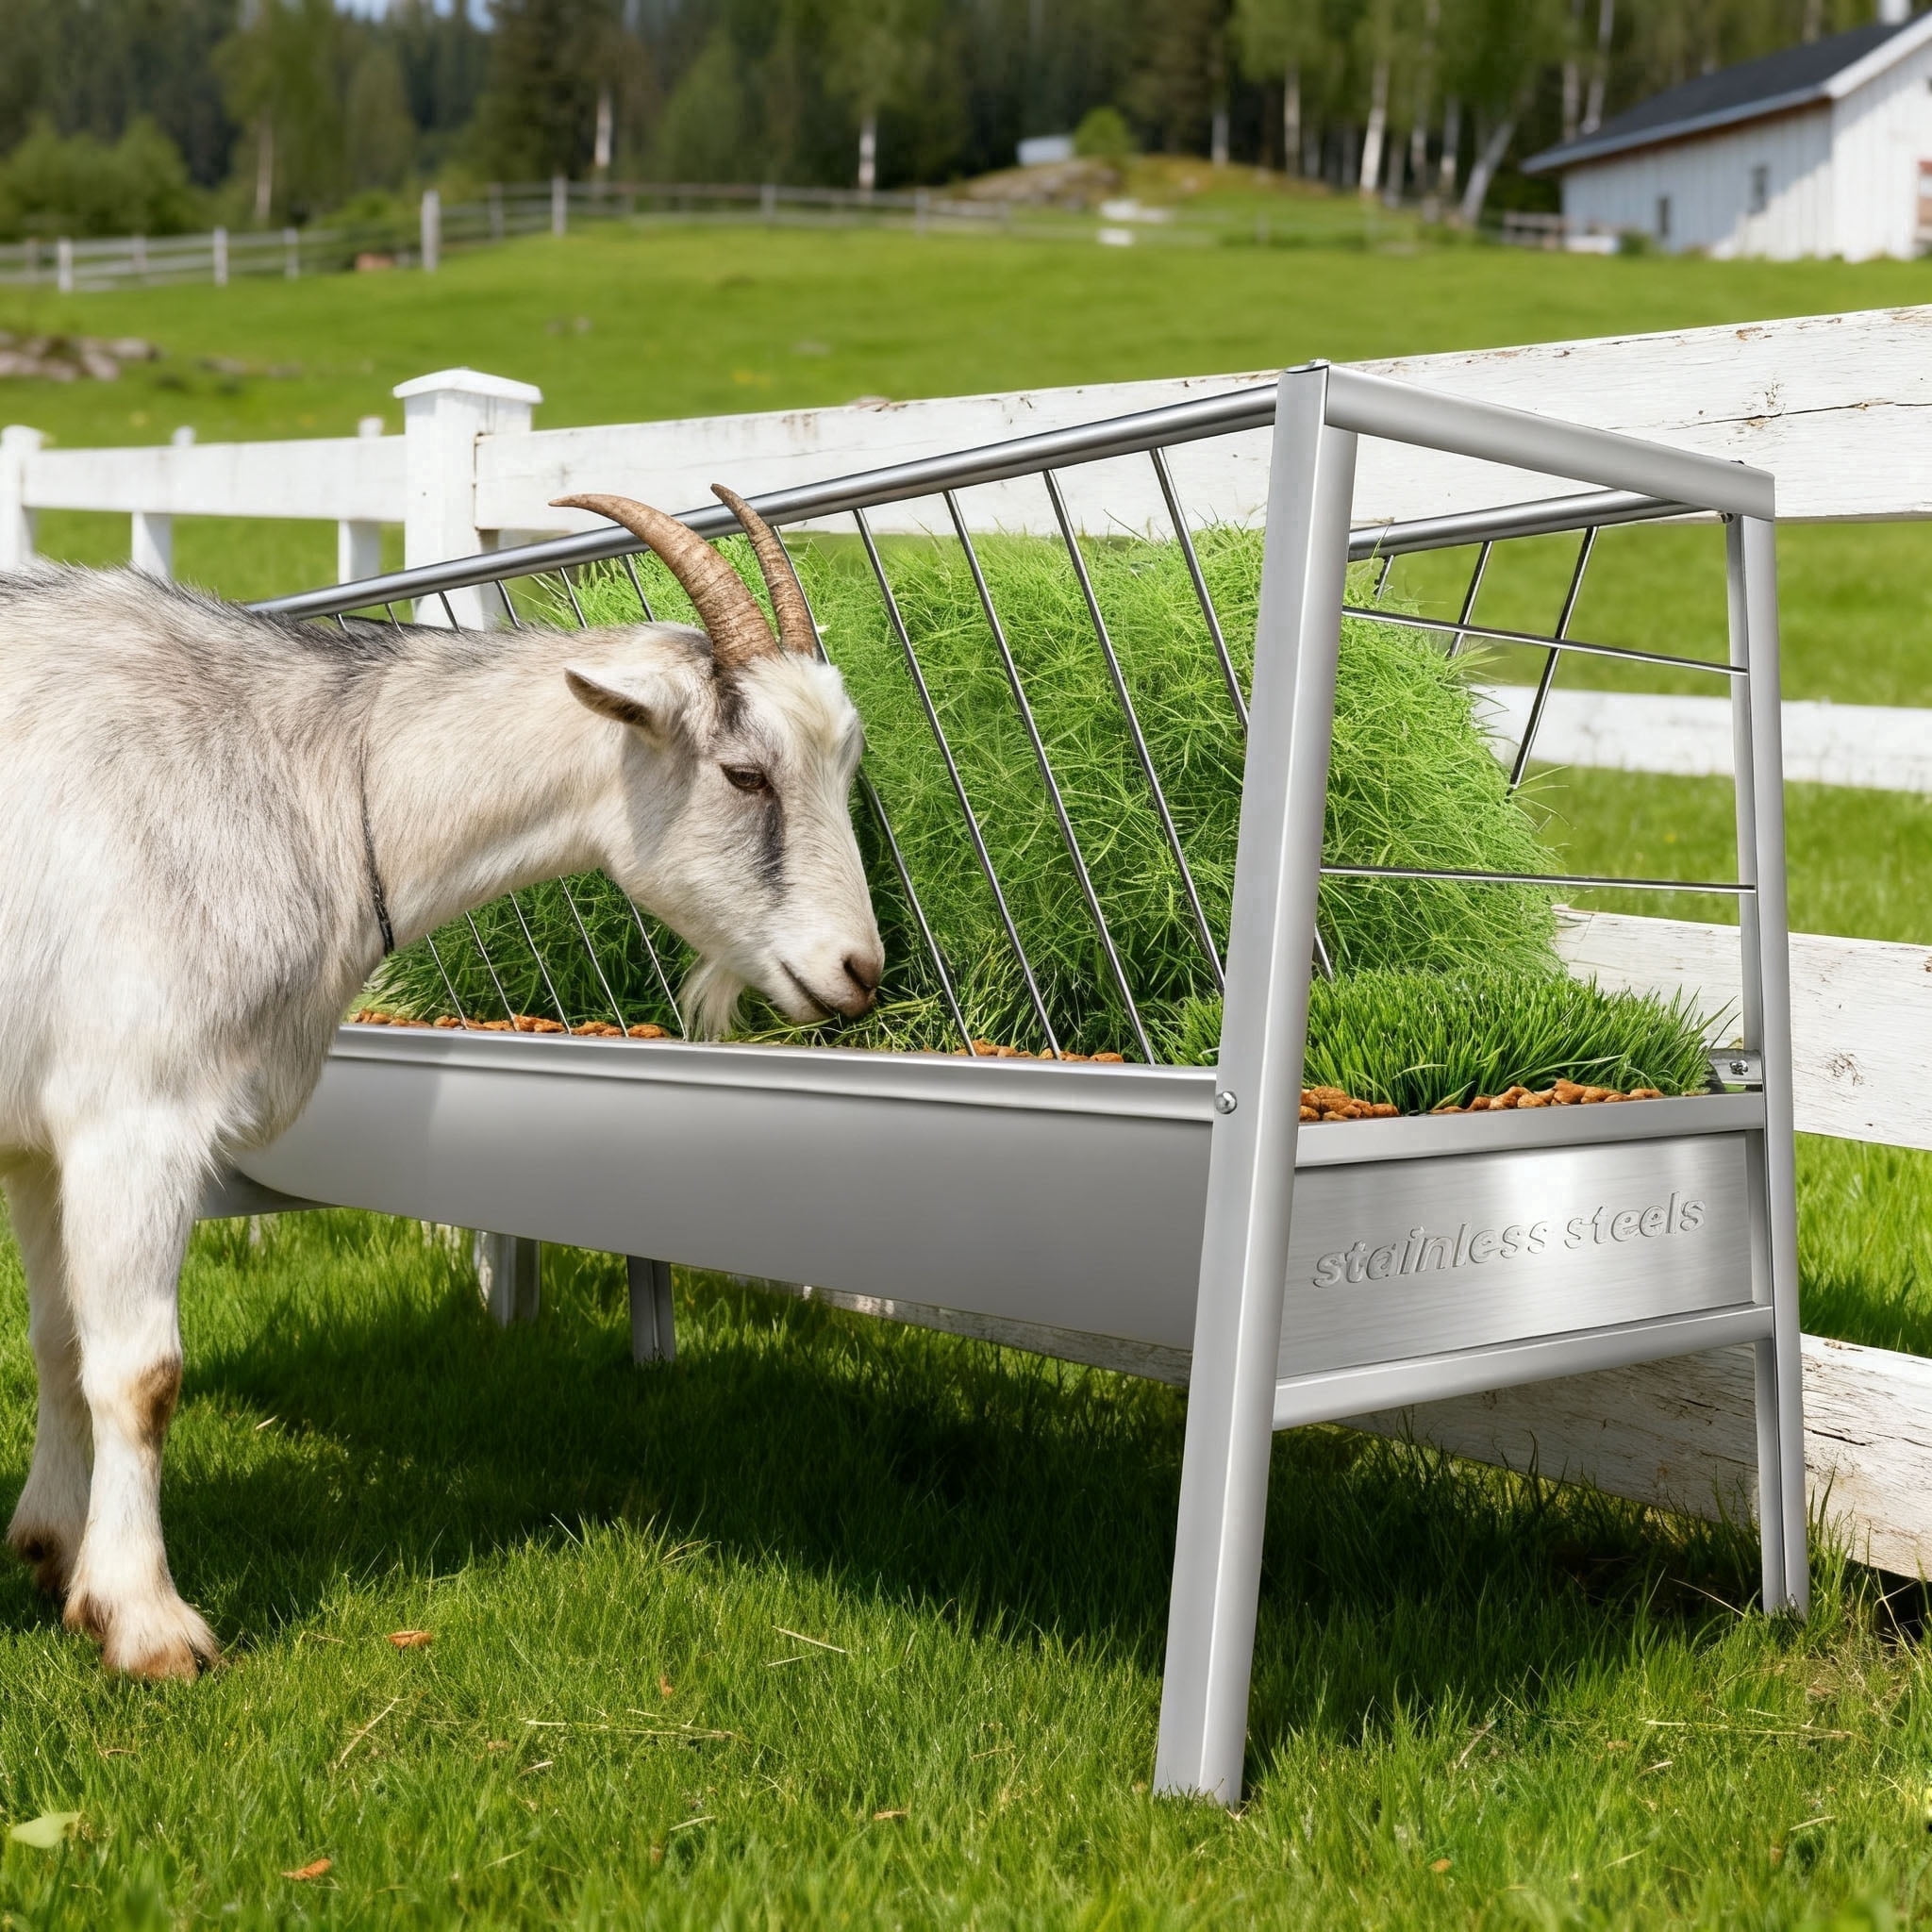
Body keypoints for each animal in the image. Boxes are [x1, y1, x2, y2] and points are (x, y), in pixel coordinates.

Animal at [0, 488, 883, 1678]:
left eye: (841, 764)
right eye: (745, 772)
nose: (856, 971)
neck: (316, 777)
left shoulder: (45, 1136)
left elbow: (61, 1340)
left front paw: (55, 1554)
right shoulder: (136, 1112)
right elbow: (141, 1372)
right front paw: (147, 1623)